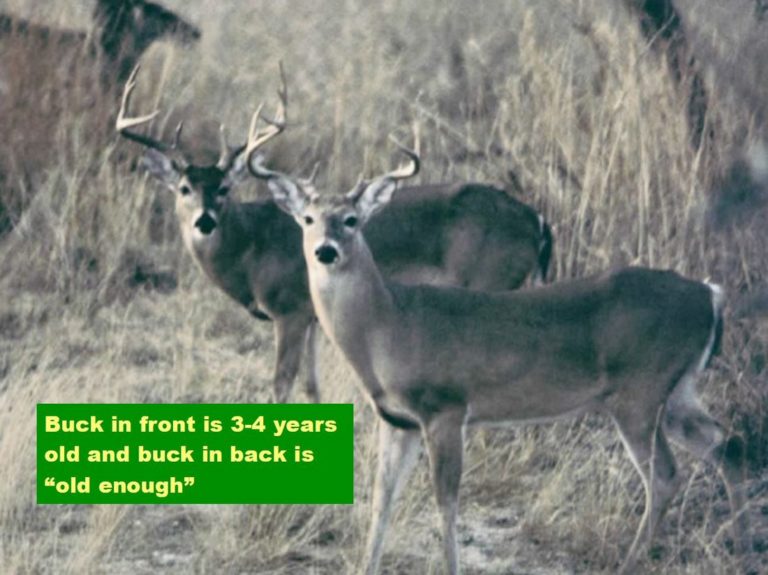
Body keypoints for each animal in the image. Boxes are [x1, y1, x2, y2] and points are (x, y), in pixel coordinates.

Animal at [115, 66, 553, 403]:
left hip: (491, 280)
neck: (251, 250)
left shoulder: (288, 309)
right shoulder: (311, 316)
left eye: (223, 189)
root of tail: (536, 220)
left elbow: (281, 383)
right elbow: (311, 386)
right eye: (184, 189)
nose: (204, 221)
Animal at [248, 131, 751, 573]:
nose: (326, 251)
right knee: (725, 446)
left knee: (665, 475)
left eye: (352, 220)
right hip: (677, 390)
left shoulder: (446, 407)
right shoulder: (397, 420)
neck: (387, 327)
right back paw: (739, 545)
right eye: (308, 219)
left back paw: (631, 564)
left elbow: (446, 502)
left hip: (639, 393)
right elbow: (381, 499)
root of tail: (710, 295)